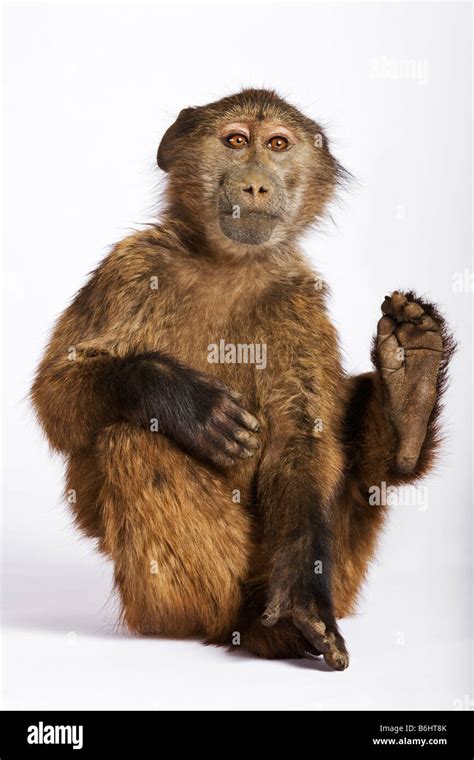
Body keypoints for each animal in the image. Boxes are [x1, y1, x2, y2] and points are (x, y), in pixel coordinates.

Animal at [31, 89, 454, 670]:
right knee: (134, 440)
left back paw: (410, 390)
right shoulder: (131, 267)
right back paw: (245, 626)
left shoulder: (299, 300)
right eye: (235, 140)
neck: (230, 264)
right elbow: (55, 395)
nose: (255, 183)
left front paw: (303, 597)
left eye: (277, 144)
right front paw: (181, 399)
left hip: (341, 576)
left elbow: (302, 439)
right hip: (170, 600)